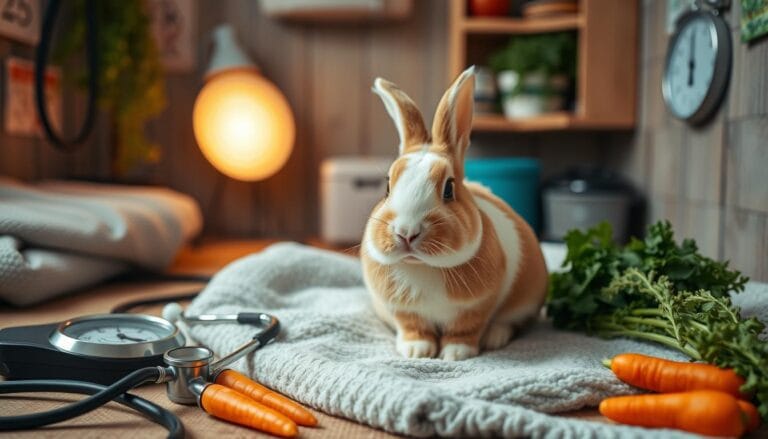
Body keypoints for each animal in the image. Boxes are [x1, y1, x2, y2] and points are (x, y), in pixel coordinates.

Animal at [361, 66, 548, 361]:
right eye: (387, 186)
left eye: (449, 189)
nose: (406, 233)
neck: (423, 266)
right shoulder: (404, 311)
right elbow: (414, 327)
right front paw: (416, 351)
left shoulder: (477, 307)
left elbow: (464, 329)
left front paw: (455, 354)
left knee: (513, 323)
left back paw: (495, 337)